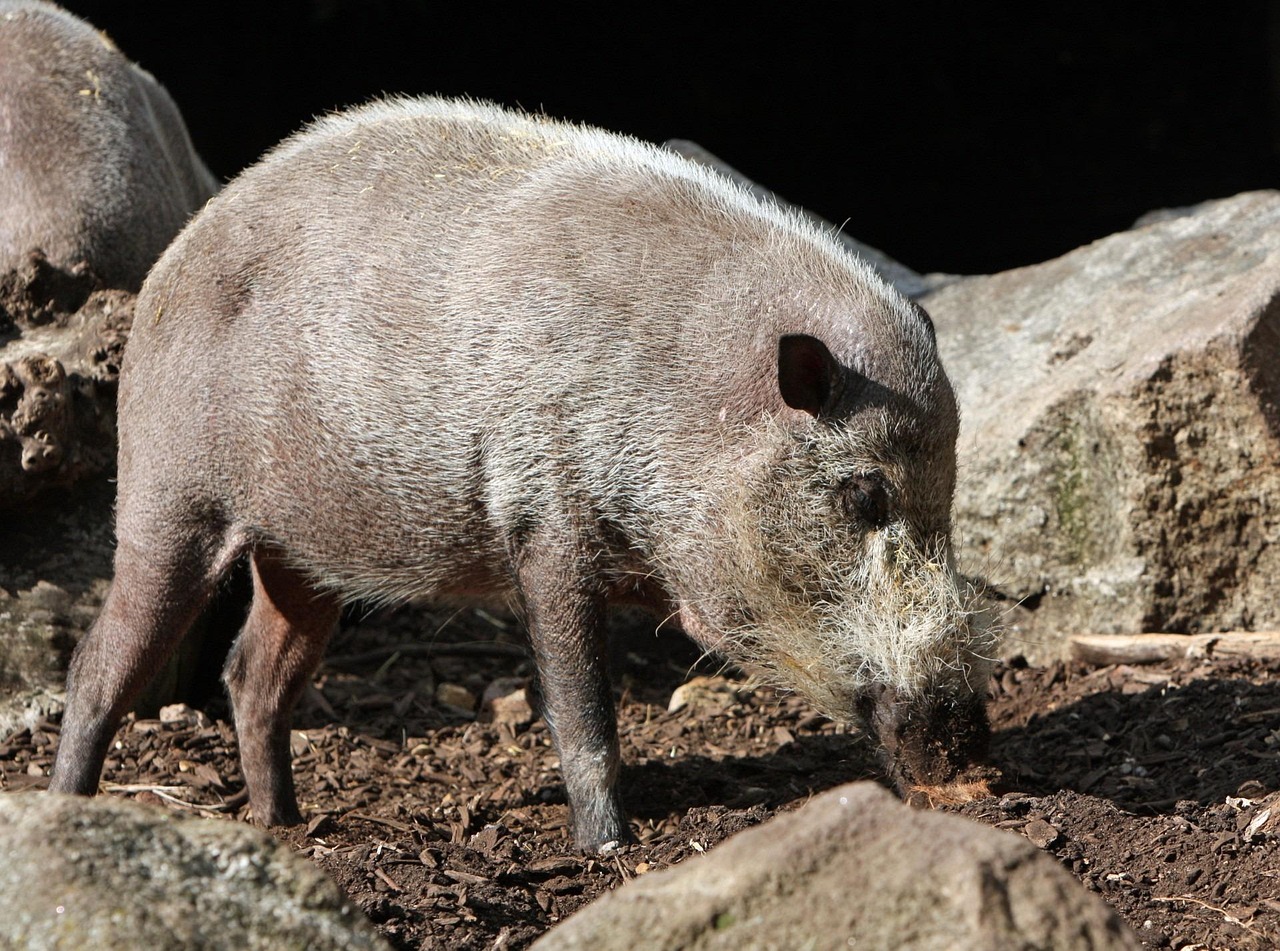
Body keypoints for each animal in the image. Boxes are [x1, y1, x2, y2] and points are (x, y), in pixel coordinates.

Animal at [49, 96, 996, 851]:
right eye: (865, 492)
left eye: (947, 498)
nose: (969, 745)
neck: (693, 413)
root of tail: (172, 260)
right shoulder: (546, 522)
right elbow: (582, 710)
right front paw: (608, 848)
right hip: (169, 494)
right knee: (99, 663)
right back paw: (69, 806)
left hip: (301, 553)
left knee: (253, 673)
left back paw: (283, 825)